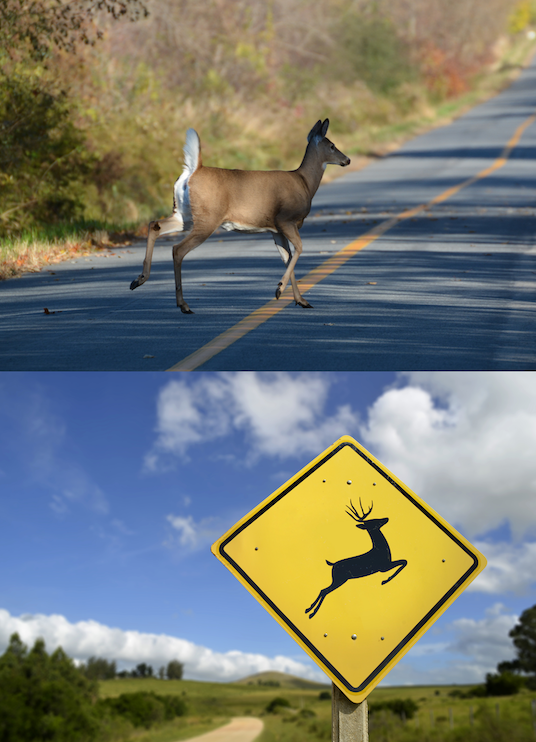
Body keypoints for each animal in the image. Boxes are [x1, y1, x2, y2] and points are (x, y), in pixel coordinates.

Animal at [129, 119, 350, 313]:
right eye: (332, 146)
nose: (347, 159)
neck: (304, 182)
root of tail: (194, 170)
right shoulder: (285, 219)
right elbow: (299, 249)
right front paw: (279, 289)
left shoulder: (275, 229)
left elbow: (287, 257)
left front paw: (301, 300)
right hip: (207, 218)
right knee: (178, 249)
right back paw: (183, 305)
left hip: (184, 215)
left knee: (155, 225)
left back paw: (138, 280)